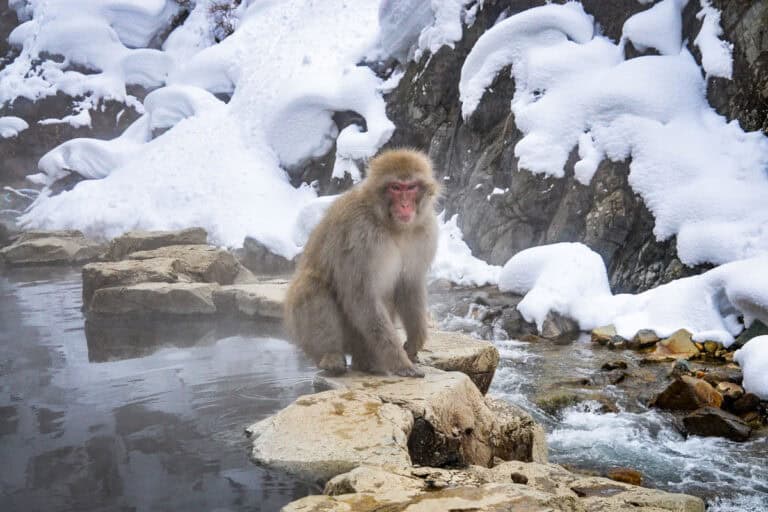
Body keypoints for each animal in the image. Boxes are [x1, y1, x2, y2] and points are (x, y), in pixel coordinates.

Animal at [284, 148, 440, 377]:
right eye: (395, 187)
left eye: (411, 187)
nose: (405, 205)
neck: (392, 226)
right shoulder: (359, 234)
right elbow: (362, 296)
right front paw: (400, 362)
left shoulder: (425, 231)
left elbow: (409, 284)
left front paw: (415, 342)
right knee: (311, 284)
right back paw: (332, 357)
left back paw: (367, 362)